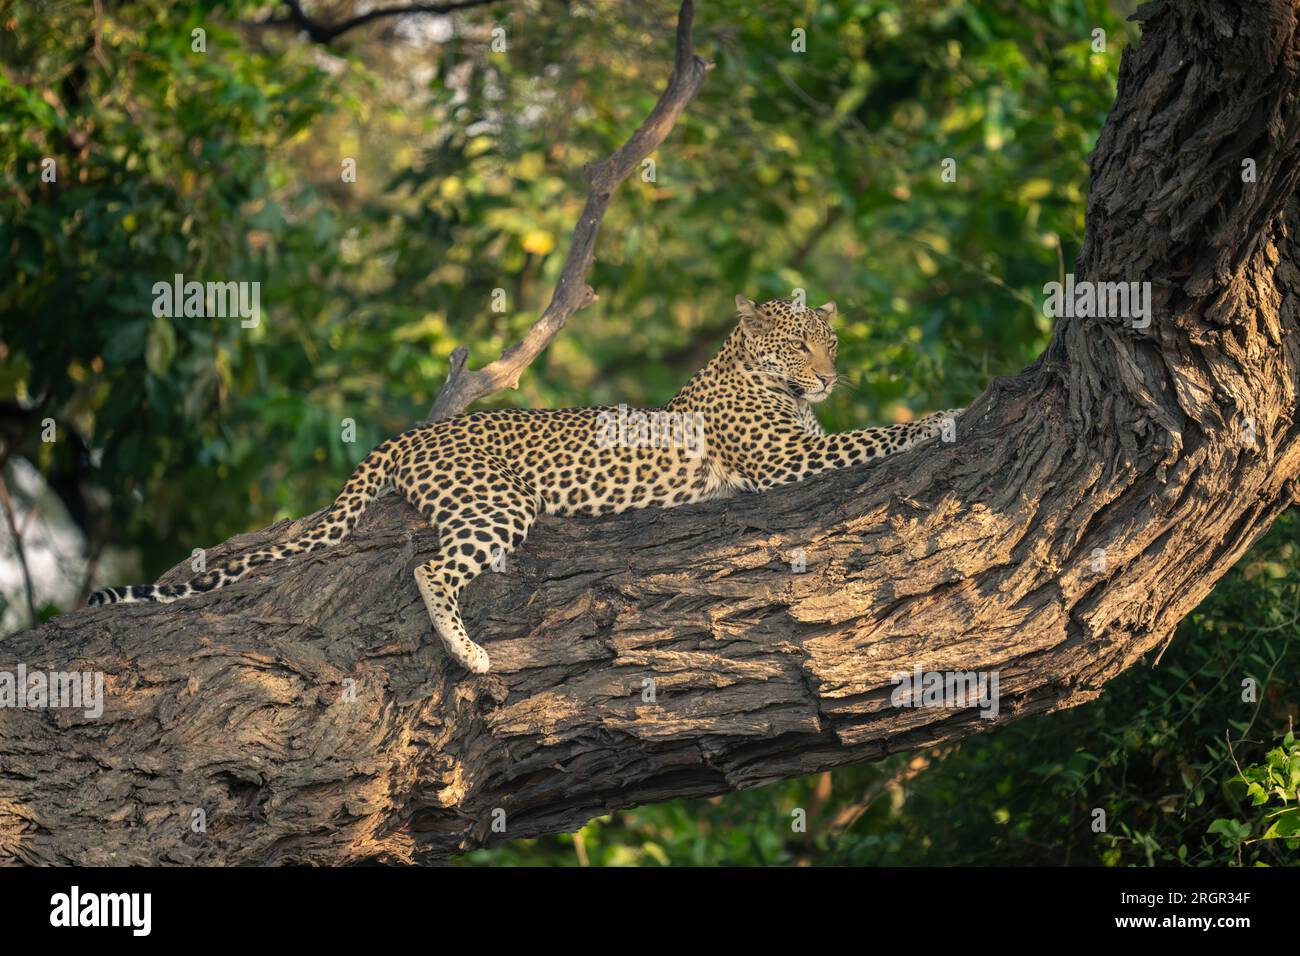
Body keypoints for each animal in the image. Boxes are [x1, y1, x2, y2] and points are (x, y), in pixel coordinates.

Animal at [88, 295, 963, 674]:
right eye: (797, 344)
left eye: (831, 340)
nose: (829, 375)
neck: (753, 373)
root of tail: (415, 432)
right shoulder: (784, 462)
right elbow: (873, 435)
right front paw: (943, 417)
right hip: (496, 502)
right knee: (431, 568)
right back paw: (468, 652)